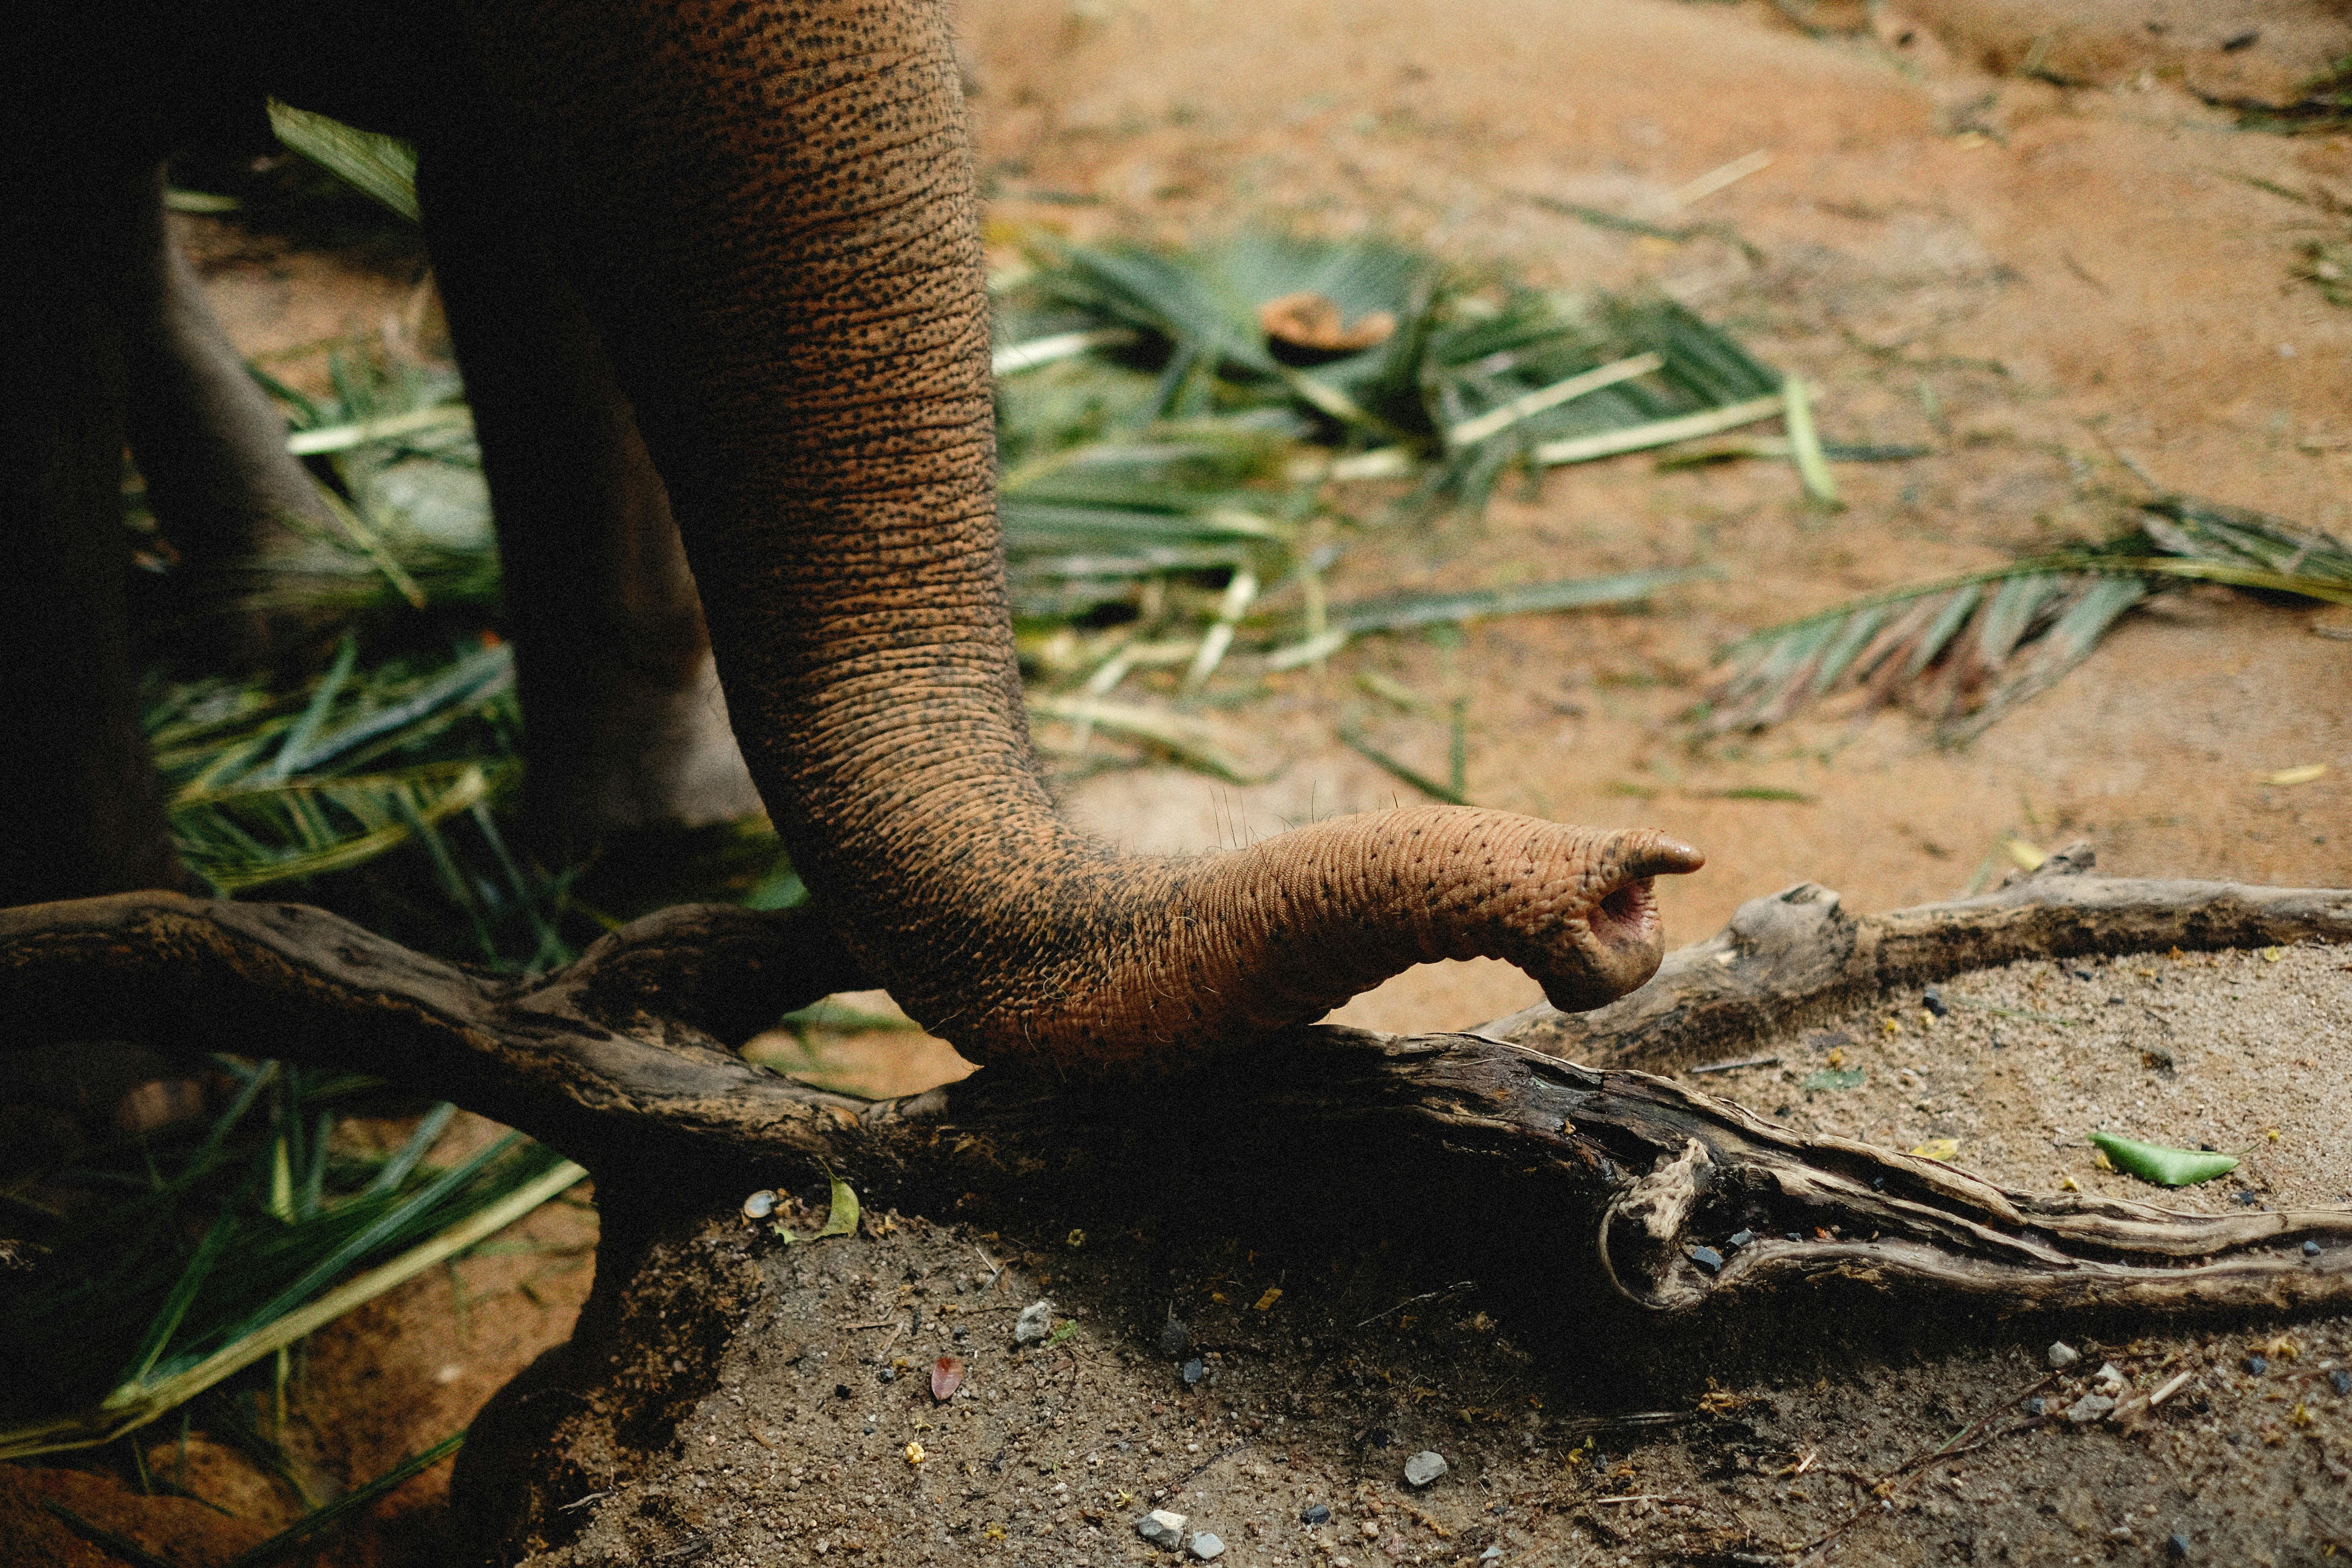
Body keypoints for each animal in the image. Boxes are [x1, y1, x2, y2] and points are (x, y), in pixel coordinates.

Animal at [1, 0, 1704, 1073]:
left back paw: (296, 606)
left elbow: (529, 219)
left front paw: (654, 838)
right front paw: (127, 1089)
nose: (1626, 896)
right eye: (1637, 891)